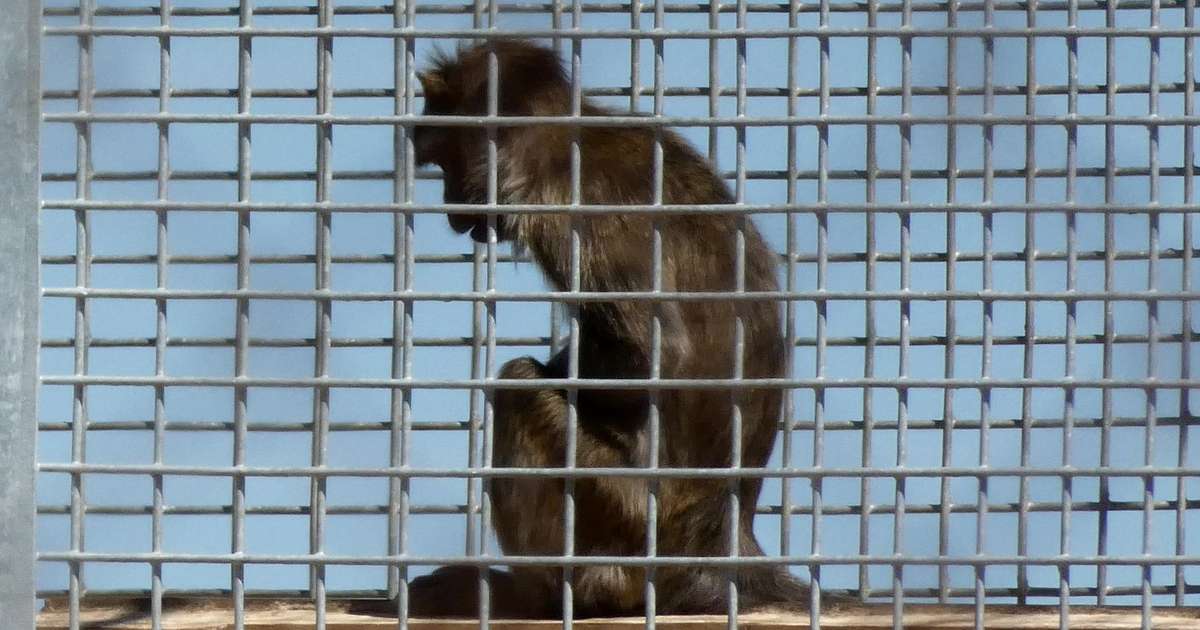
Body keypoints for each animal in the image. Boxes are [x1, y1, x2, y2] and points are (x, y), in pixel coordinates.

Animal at [405, 40, 810, 619]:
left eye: (445, 163)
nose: (452, 211)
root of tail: (720, 544)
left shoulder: (566, 208)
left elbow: (651, 359)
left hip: (627, 513)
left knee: (519, 386)